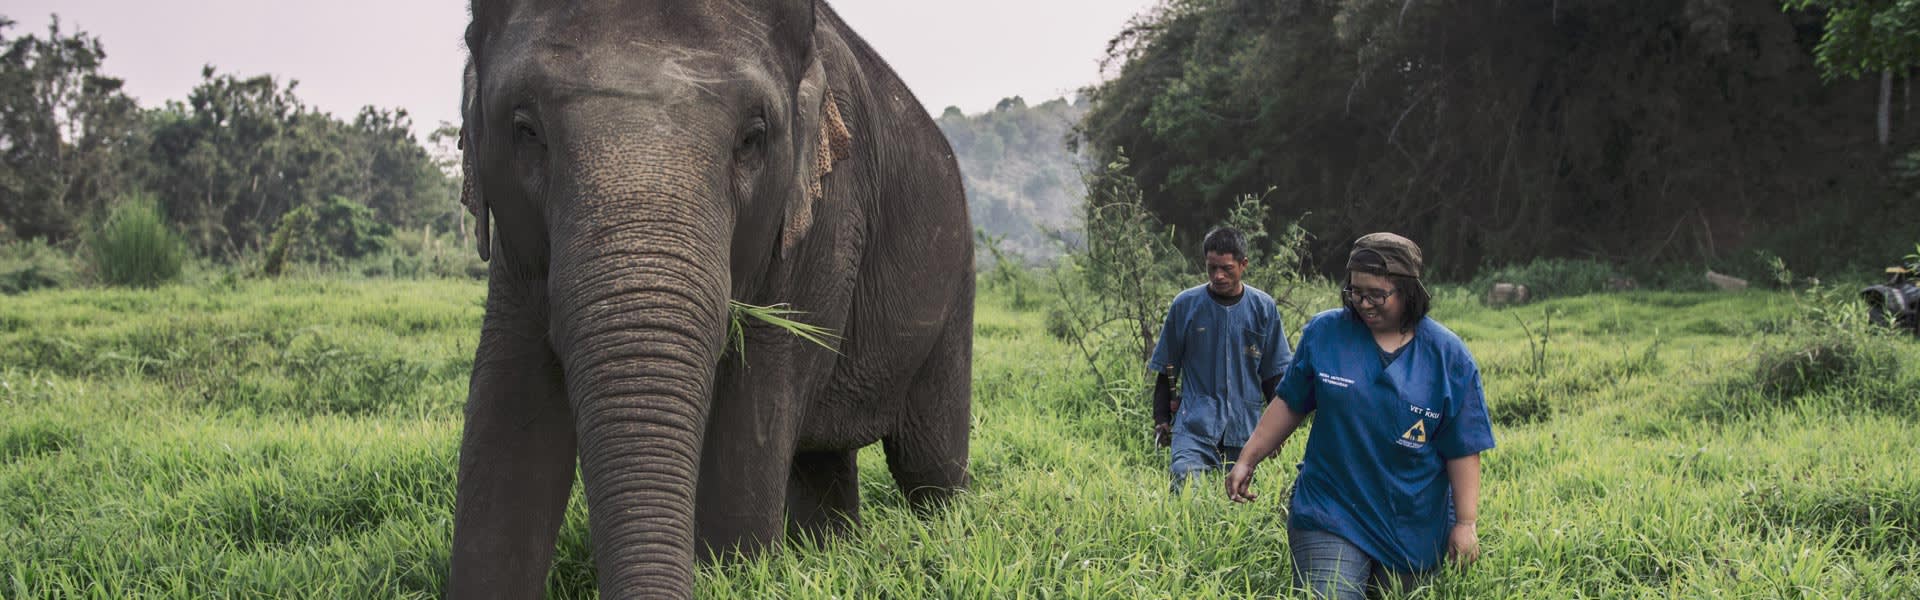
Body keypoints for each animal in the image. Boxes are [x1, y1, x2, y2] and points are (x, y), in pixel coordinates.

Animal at [447, 1, 973, 598]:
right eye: (525, 129)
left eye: (752, 138)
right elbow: (508, 398)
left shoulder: (829, 216)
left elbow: (754, 403)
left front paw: (736, 572)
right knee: (822, 464)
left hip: (956, 283)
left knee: (929, 463)